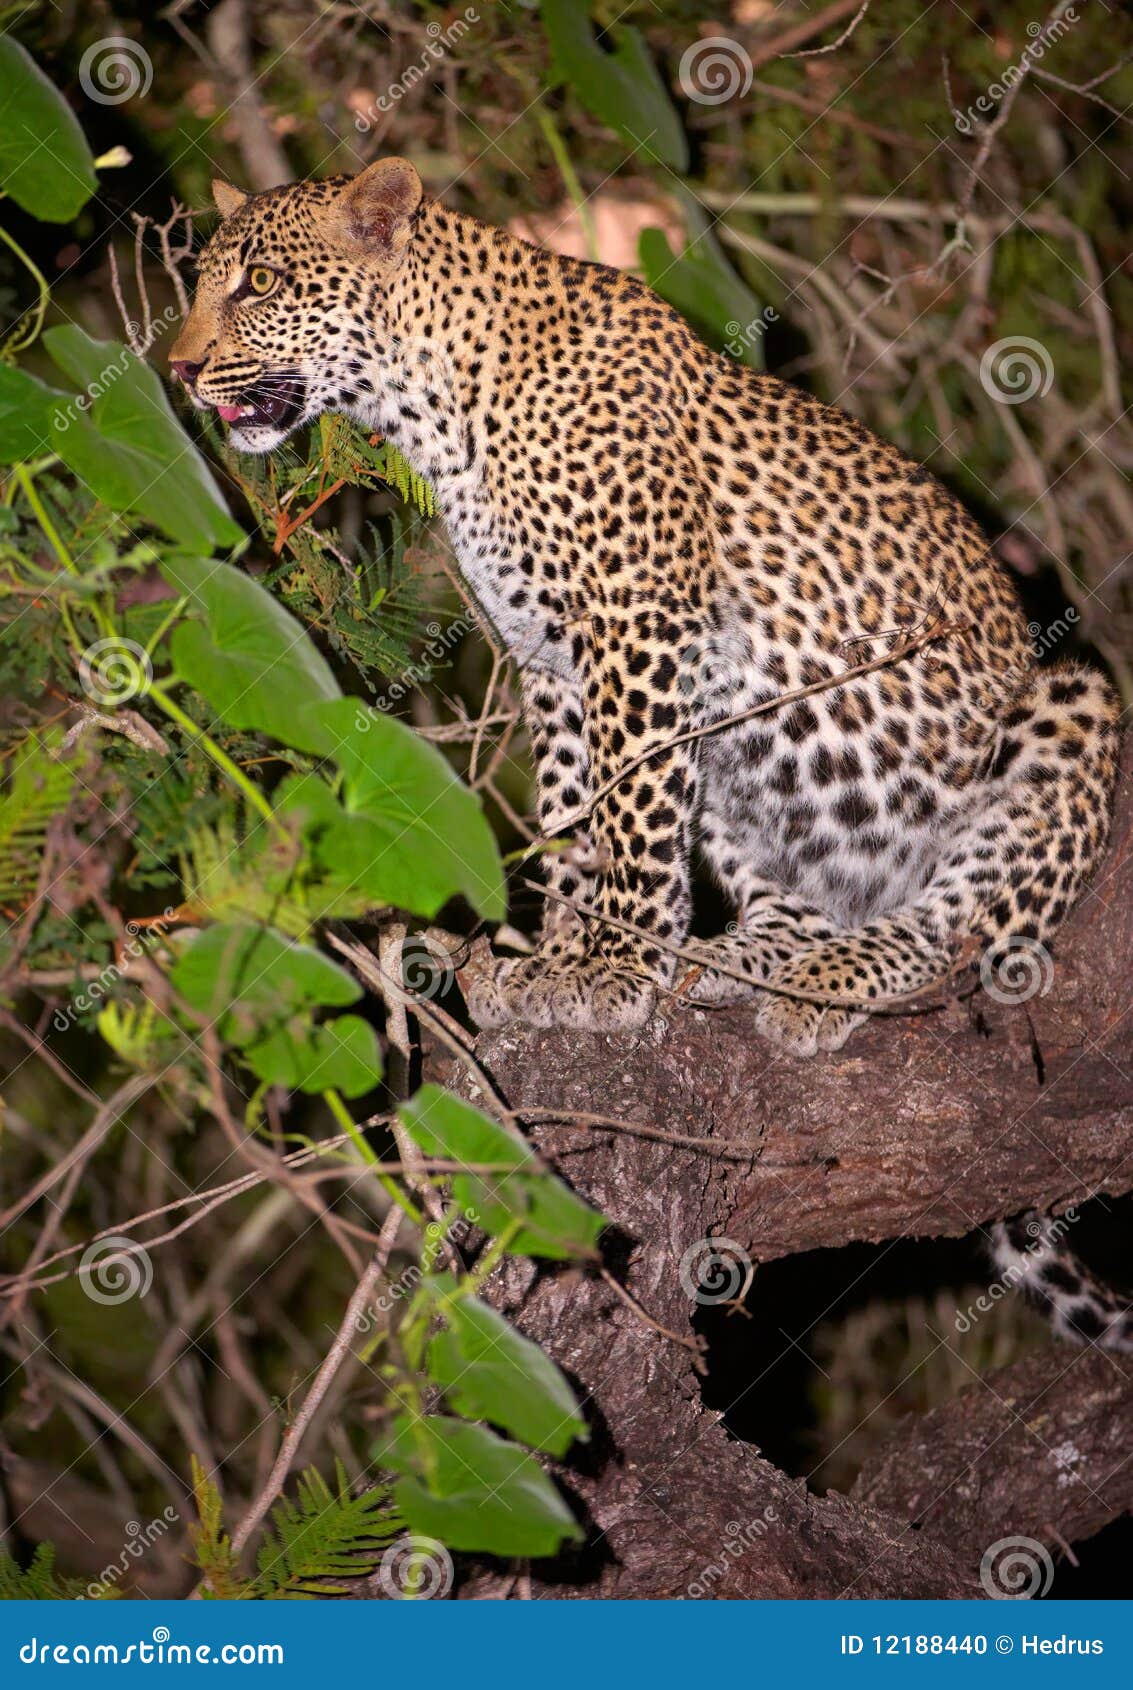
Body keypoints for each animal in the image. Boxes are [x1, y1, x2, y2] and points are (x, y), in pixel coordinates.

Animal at [170, 158, 1121, 1059]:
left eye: (259, 283)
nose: (178, 369)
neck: (429, 411)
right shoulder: (549, 658)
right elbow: (569, 815)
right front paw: (558, 959)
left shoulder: (638, 624)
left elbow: (629, 812)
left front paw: (615, 969)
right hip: (743, 761)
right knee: (803, 906)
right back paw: (736, 959)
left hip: (1066, 707)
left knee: (963, 926)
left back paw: (834, 977)